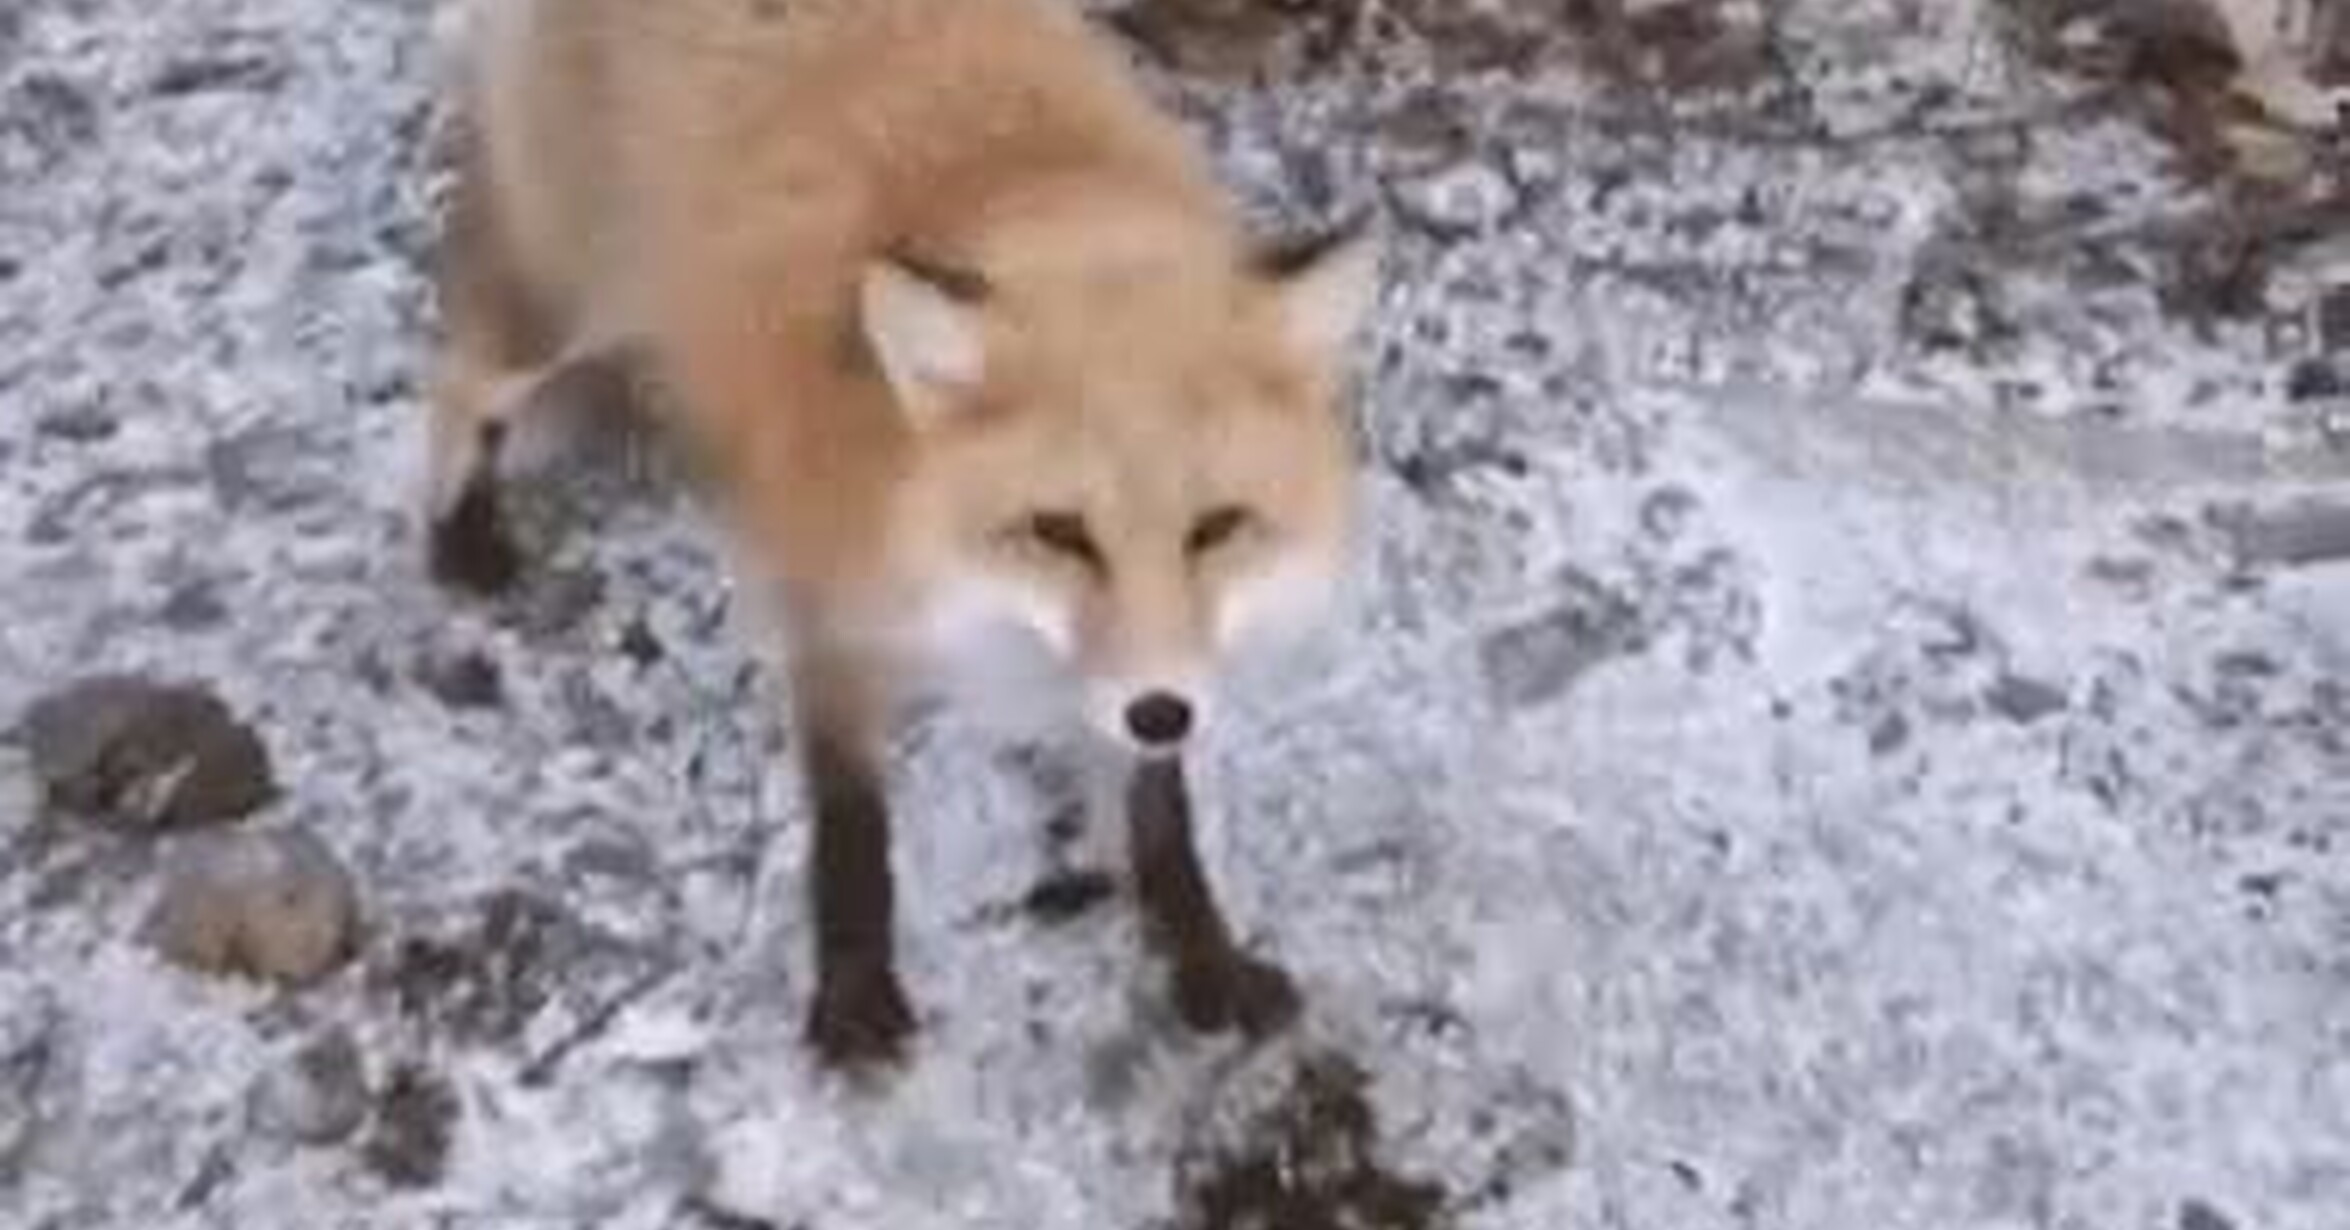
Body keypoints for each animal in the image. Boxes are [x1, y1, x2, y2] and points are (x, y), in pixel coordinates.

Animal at [422, 0, 1381, 1070]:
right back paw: (460, 534)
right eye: (1057, 531)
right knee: (460, 380)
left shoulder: (1135, 680)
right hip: (562, 301)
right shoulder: (829, 616)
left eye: (1217, 528)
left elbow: (1160, 823)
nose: (1163, 713)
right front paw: (854, 995)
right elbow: (851, 827)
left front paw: (1205, 962)